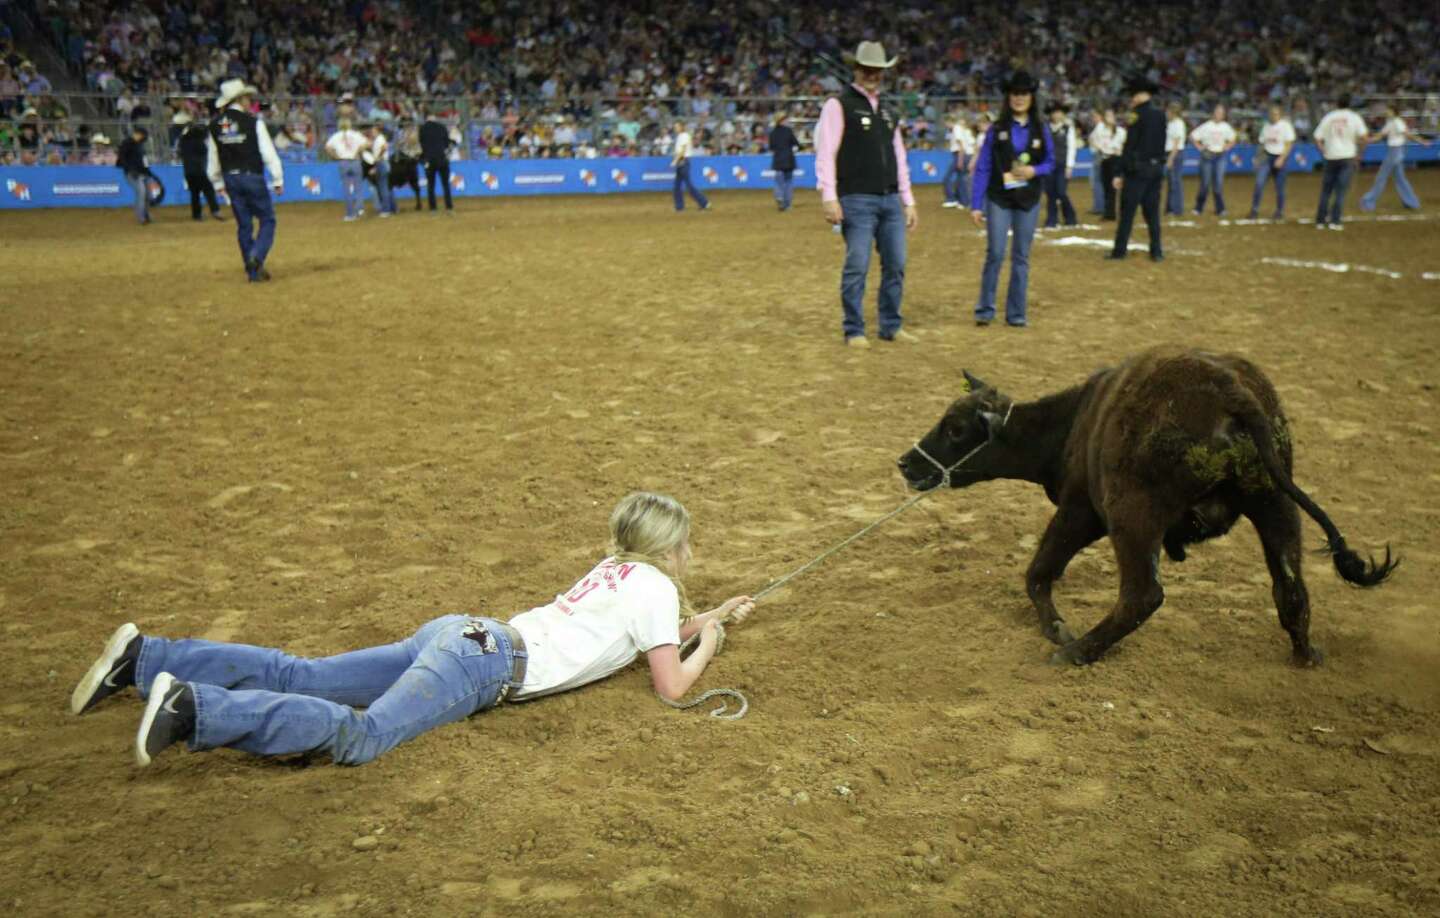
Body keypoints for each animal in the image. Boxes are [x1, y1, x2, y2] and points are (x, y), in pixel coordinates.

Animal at [896, 346, 1397, 667]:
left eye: (956, 429)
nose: (905, 462)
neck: (1075, 421)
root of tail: (1231, 390)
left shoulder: (1080, 510)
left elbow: (1039, 573)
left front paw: (1058, 629)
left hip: (1134, 516)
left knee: (1142, 595)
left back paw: (1075, 652)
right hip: (1273, 502)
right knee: (1291, 590)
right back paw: (1306, 655)